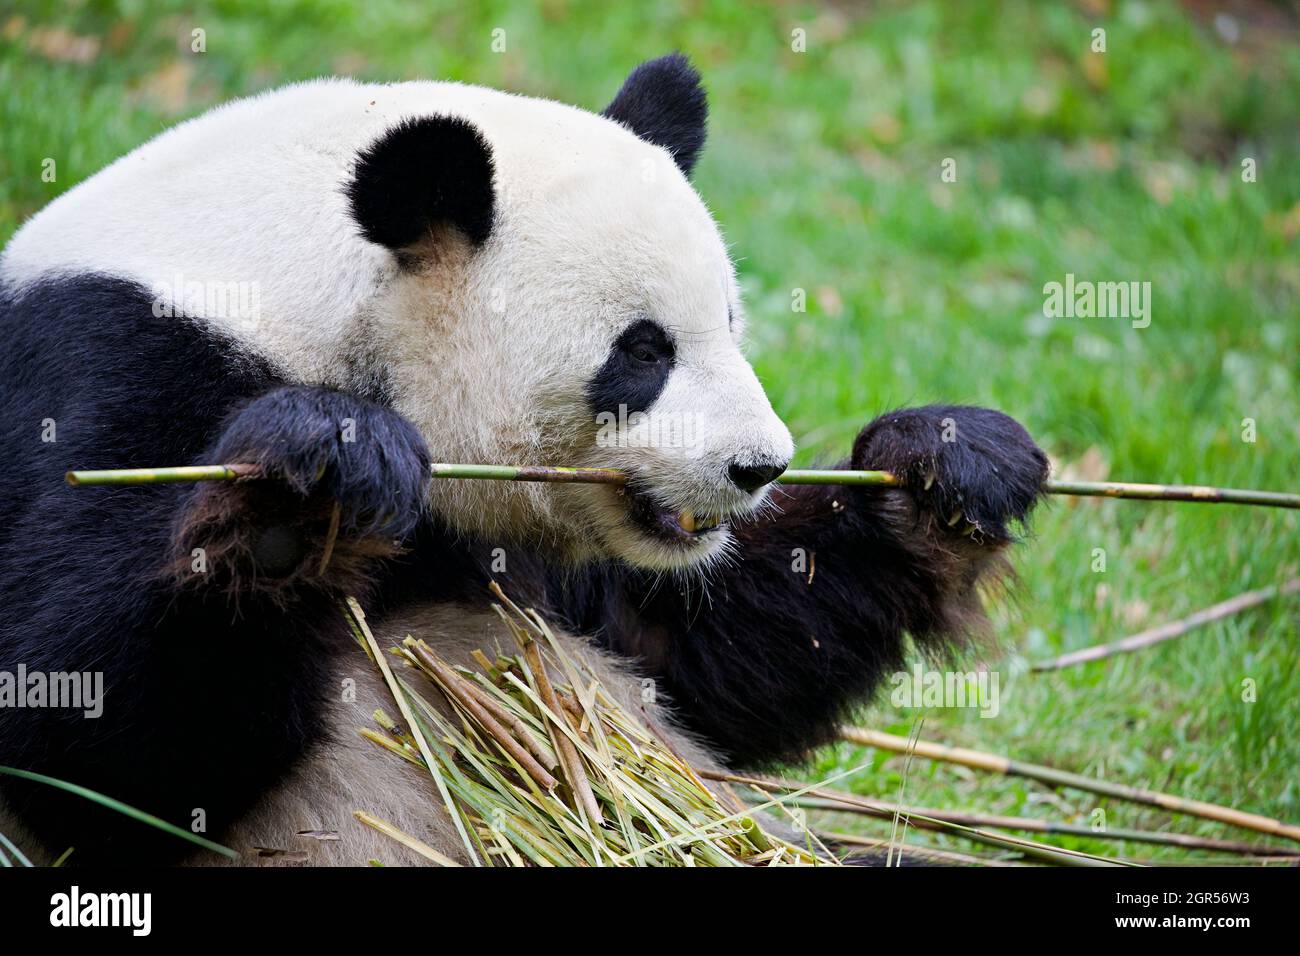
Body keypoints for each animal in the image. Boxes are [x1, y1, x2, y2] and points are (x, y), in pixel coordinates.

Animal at [0, 54, 1049, 865]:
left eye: (730, 321)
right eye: (644, 350)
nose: (758, 467)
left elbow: (691, 661)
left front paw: (947, 469)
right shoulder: (114, 363)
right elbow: (83, 729)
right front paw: (301, 498)